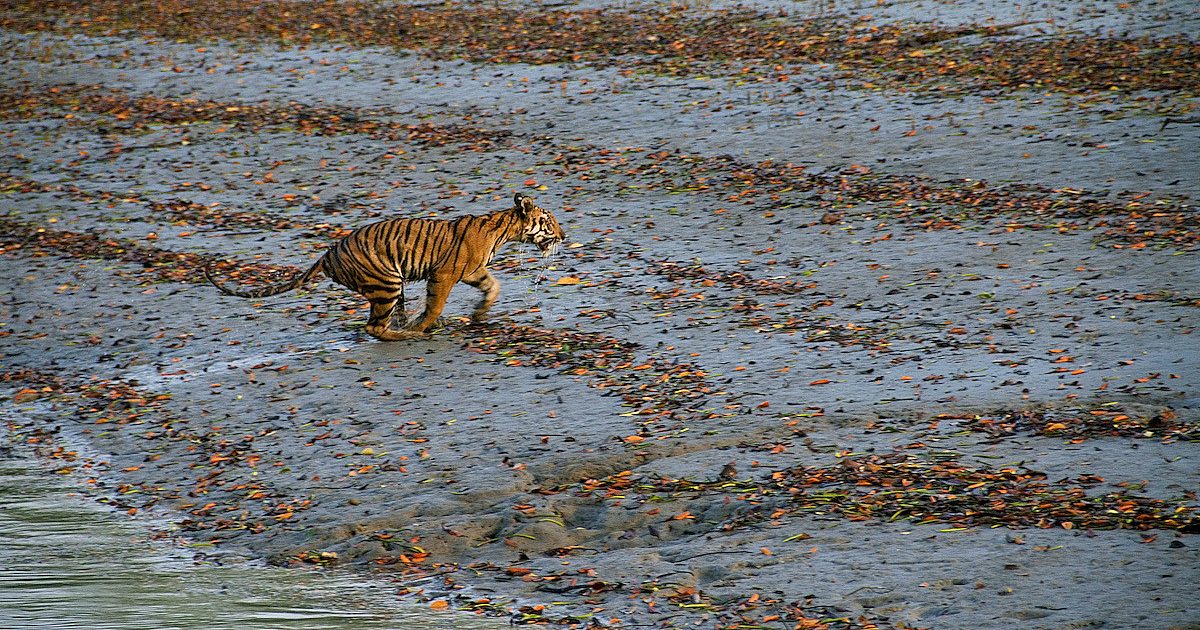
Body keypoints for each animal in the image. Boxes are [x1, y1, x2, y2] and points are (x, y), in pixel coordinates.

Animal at [206, 192, 566, 340]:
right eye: (548, 222)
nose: (564, 236)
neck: (505, 229)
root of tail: (327, 254)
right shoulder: (444, 274)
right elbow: (435, 305)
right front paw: (424, 326)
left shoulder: (473, 271)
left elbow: (493, 287)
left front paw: (479, 314)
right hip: (387, 283)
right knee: (374, 328)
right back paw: (408, 335)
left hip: (393, 285)